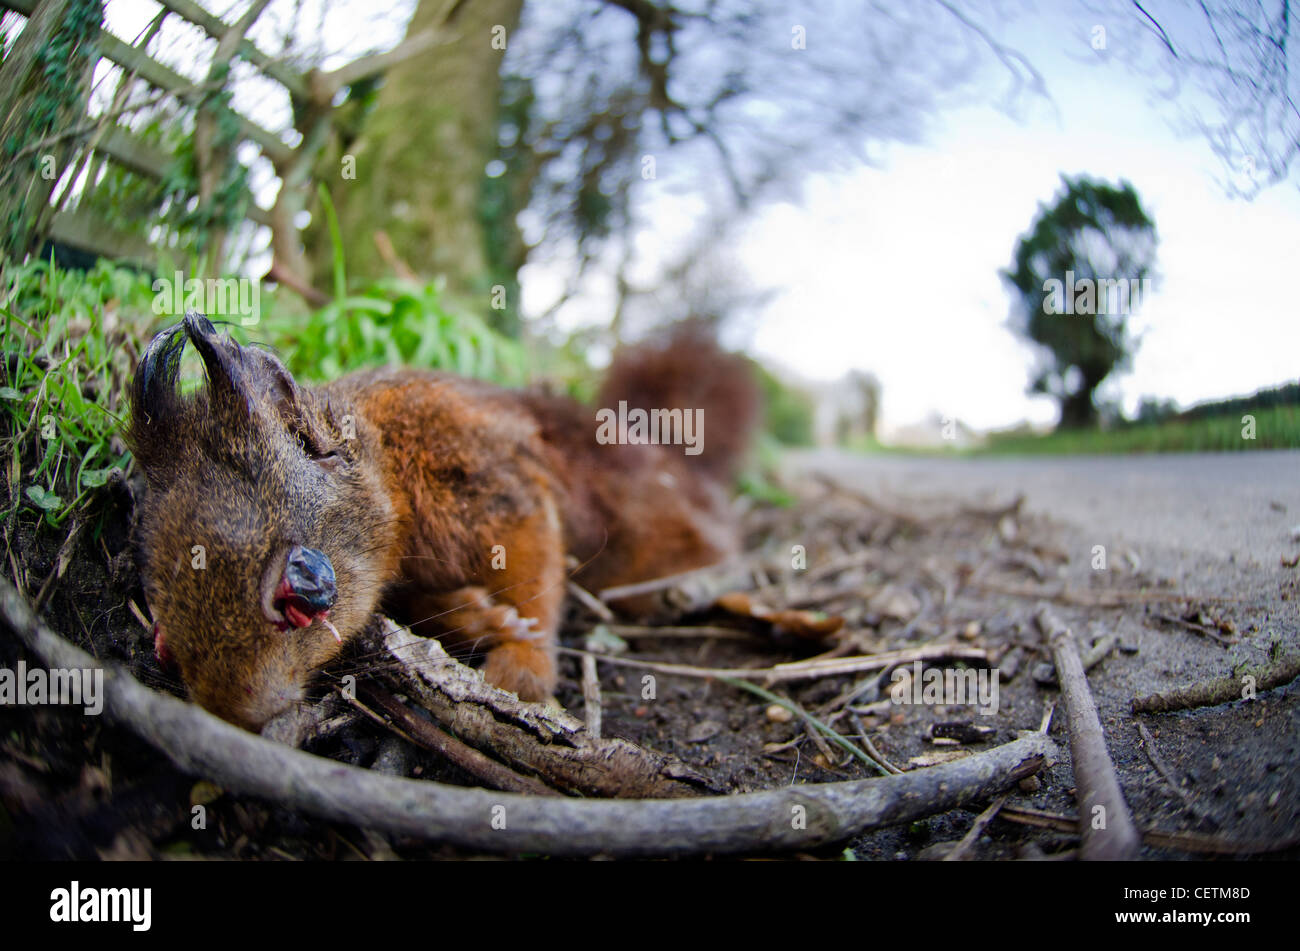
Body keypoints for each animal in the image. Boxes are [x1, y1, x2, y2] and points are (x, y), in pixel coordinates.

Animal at [126, 312, 760, 731]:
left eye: (307, 586)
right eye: (157, 624)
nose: (235, 714)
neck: (388, 457)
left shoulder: (489, 477)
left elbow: (534, 568)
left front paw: (521, 661)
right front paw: (482, 619)